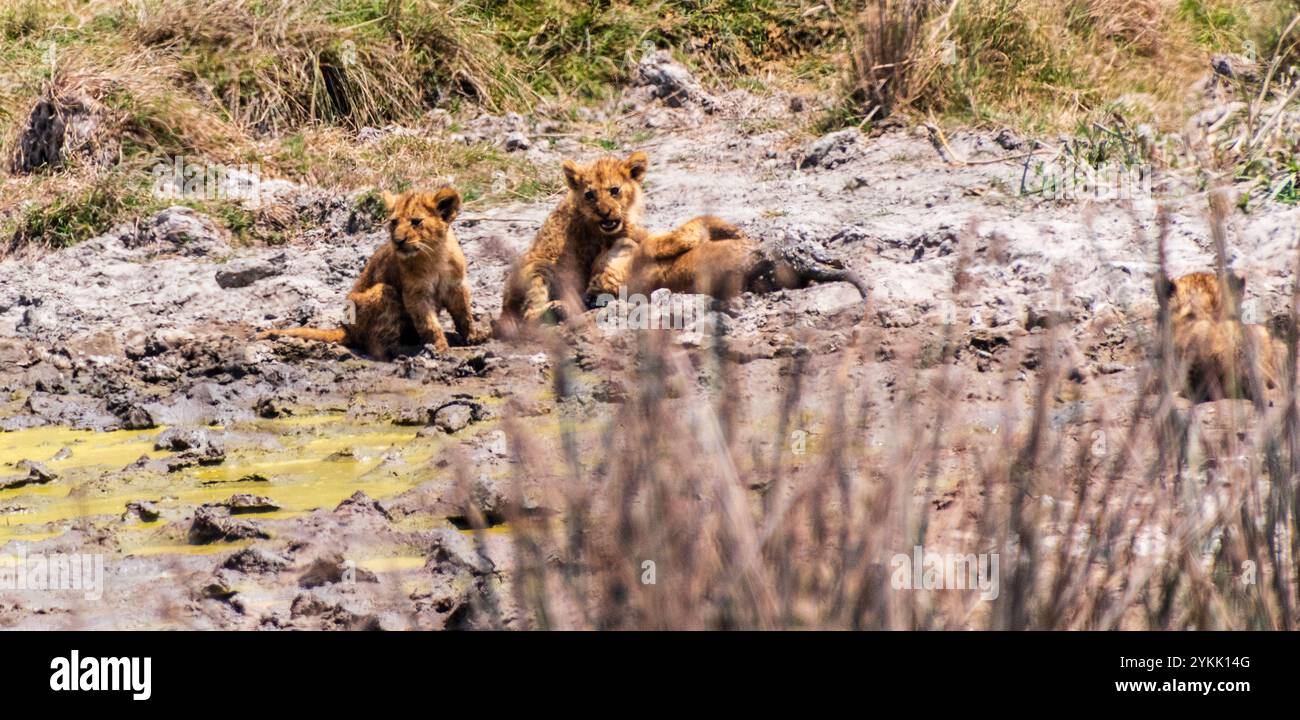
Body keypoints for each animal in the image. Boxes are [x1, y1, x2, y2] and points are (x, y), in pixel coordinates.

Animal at [260, 188, 481, 360]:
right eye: (394, 222)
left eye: (416, 221)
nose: (398, 241)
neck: (435, 255)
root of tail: (347, 328)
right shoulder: (415, 294)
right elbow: (428, 323)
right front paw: (440, 347)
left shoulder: (457, 285)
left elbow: (464, 314)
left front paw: (474, 337)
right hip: (383, 291)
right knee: (375, 347)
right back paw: (405, 351)